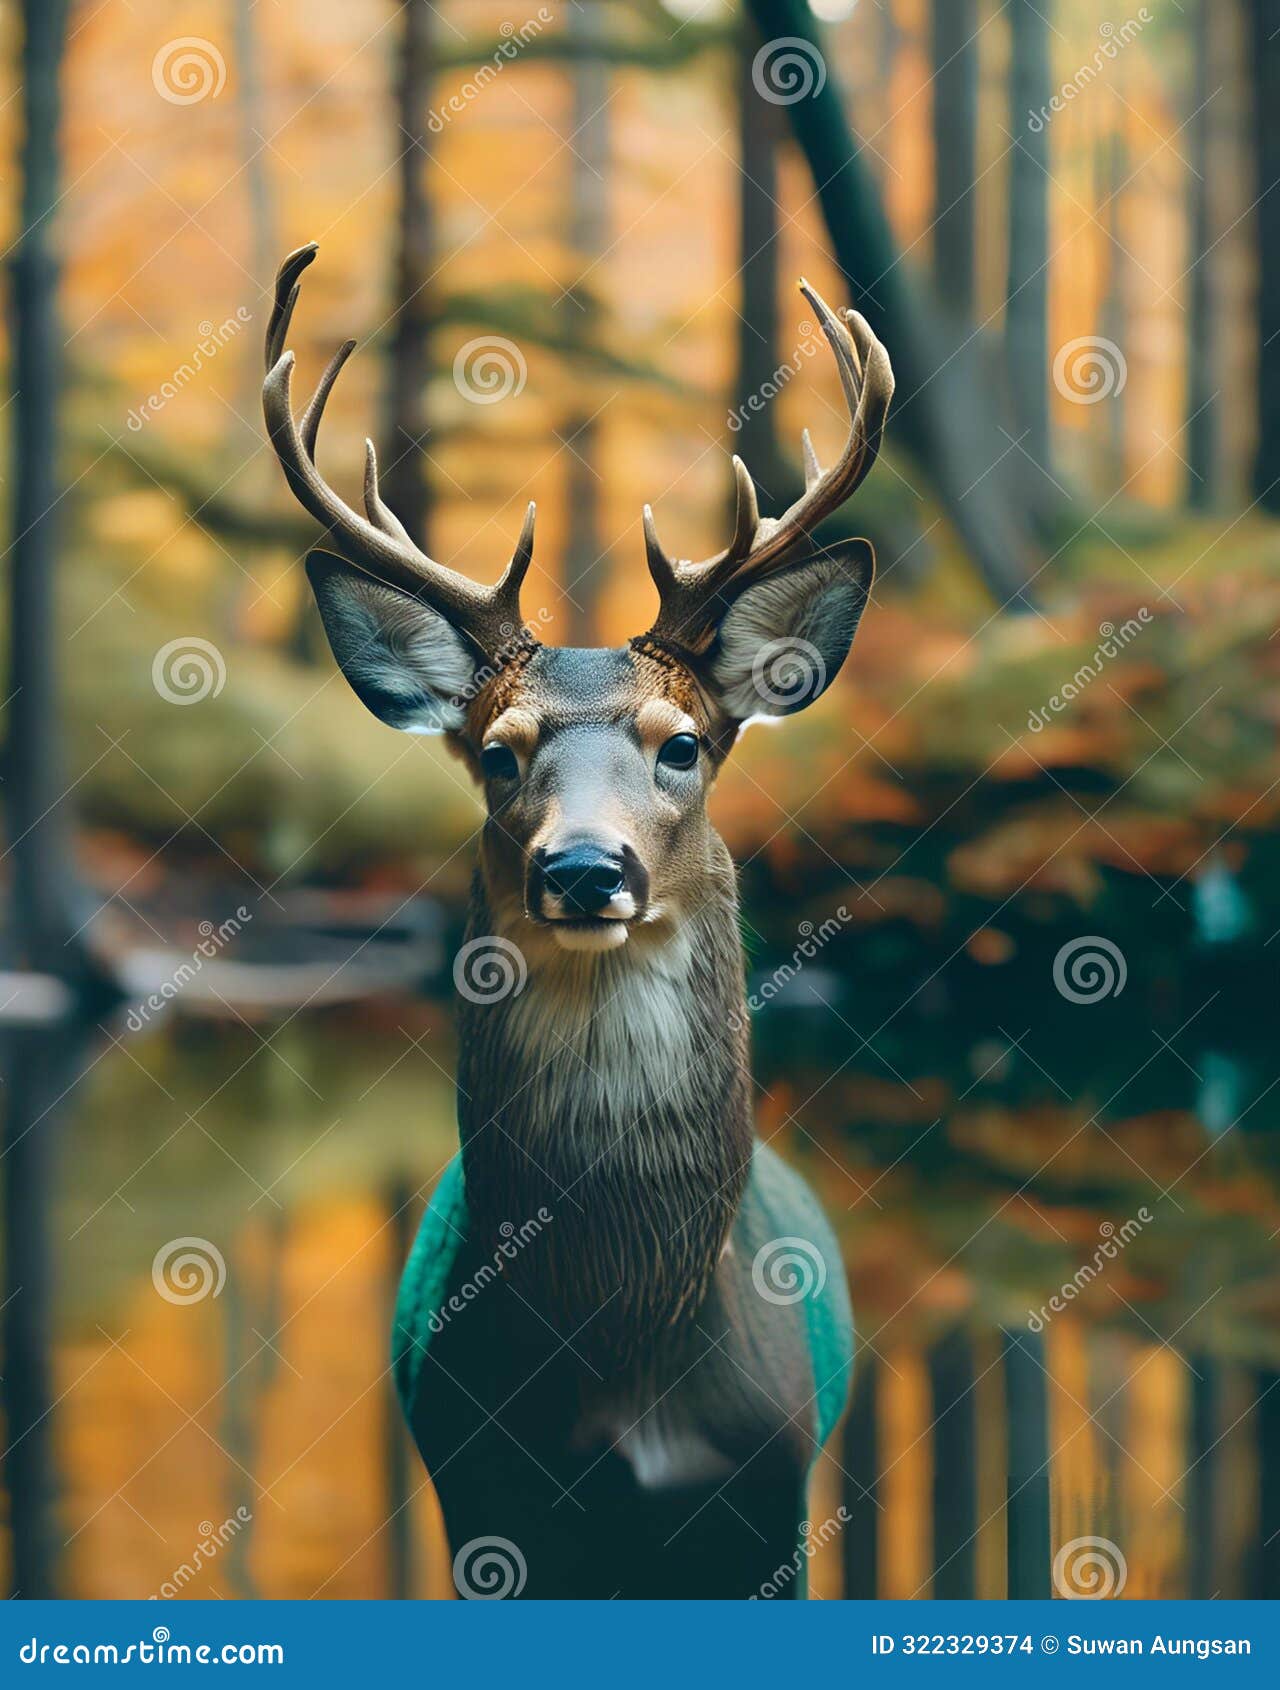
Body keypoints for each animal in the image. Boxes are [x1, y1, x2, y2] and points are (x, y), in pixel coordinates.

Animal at [263, 243, 893, 1599]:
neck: (624, 1356)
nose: (586, 867)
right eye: (497, 755)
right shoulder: (474, 1487)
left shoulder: (771, 1493)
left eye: (682, 745)